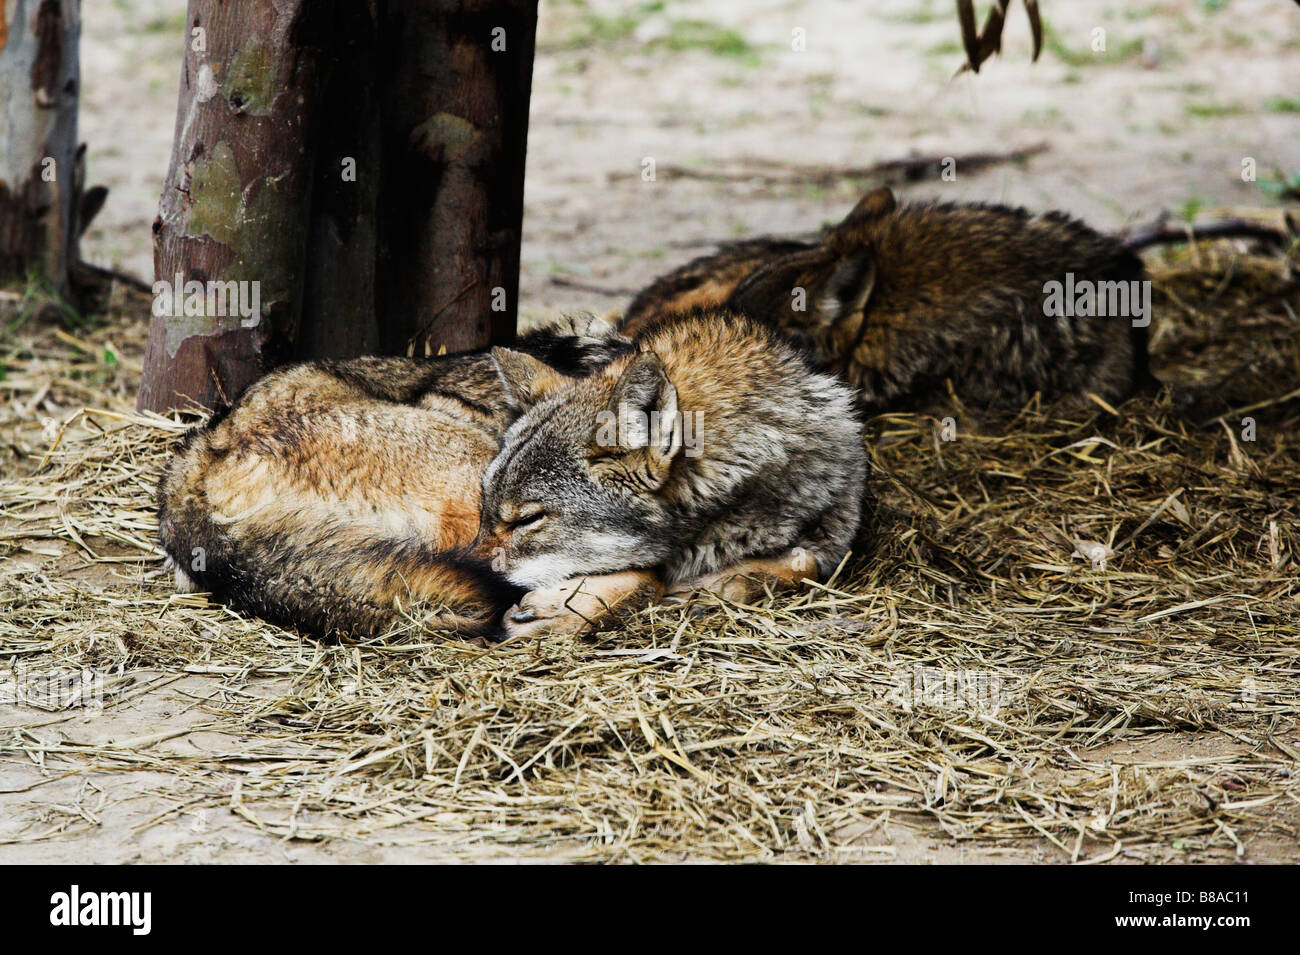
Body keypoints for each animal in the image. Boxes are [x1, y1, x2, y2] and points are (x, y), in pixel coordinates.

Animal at [474, 310, 868, 638]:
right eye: (485, 509)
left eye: (528, 519)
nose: (464, 569)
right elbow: (649, 579)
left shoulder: (830, 540)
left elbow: (805, 564)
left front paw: (712, 586)